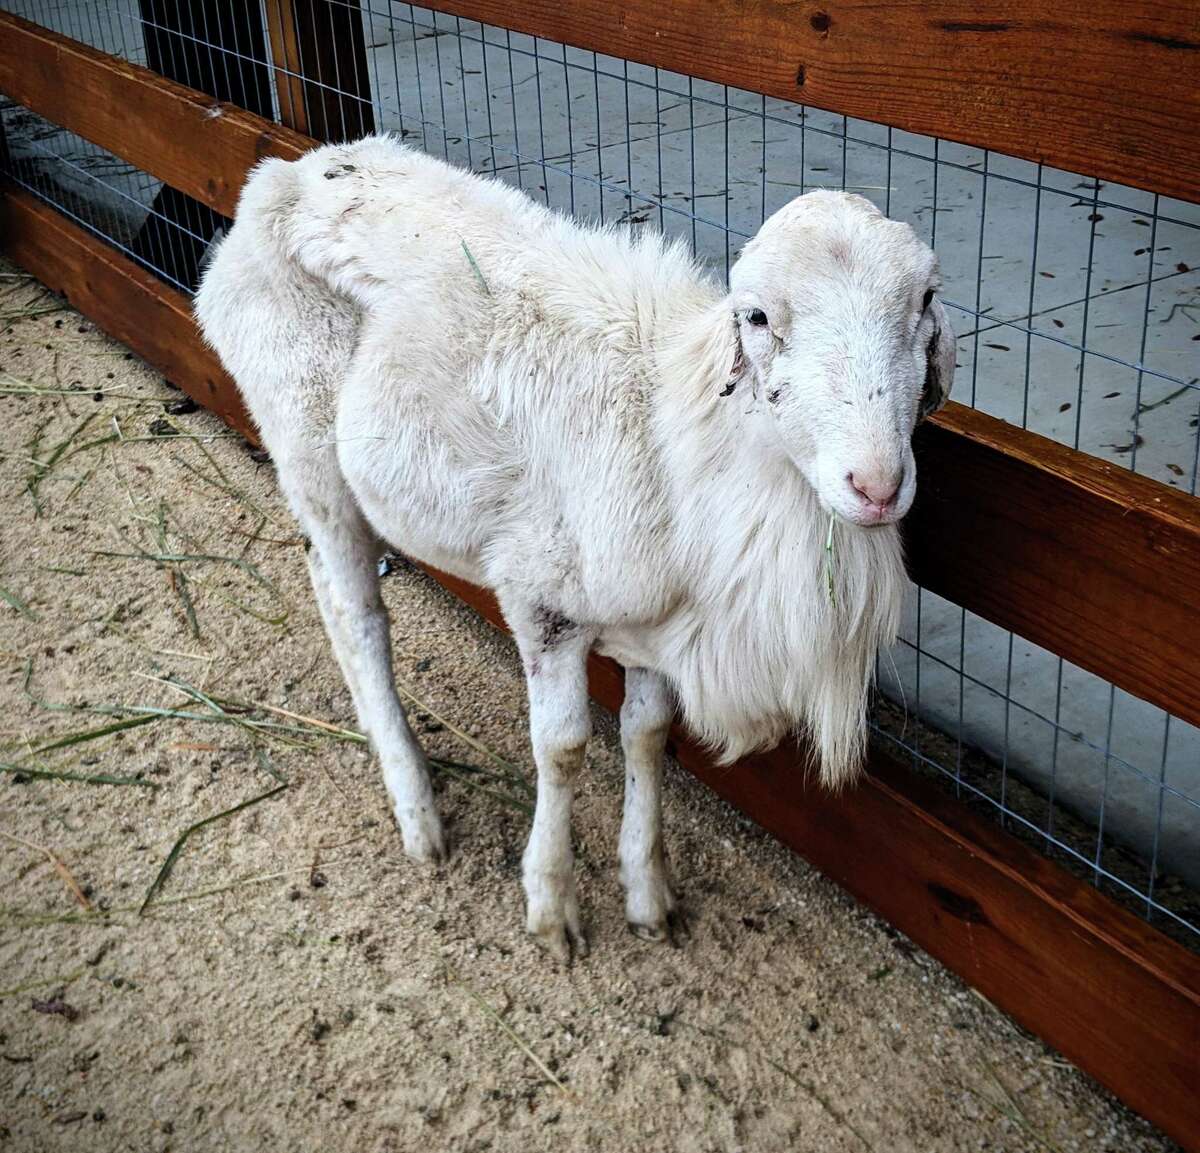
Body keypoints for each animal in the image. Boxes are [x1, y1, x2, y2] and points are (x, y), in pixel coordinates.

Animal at [194, 134, 954, 960]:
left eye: (925, 301)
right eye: (757, 316)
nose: (876, 484)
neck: (673, 435)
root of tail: (287, 172)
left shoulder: (660, 625)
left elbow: (647, 736)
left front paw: (648, 894)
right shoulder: (541, 598)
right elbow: (561, 748)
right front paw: (552, 905)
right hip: (304, 438)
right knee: (355, 612)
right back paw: (416, 809)